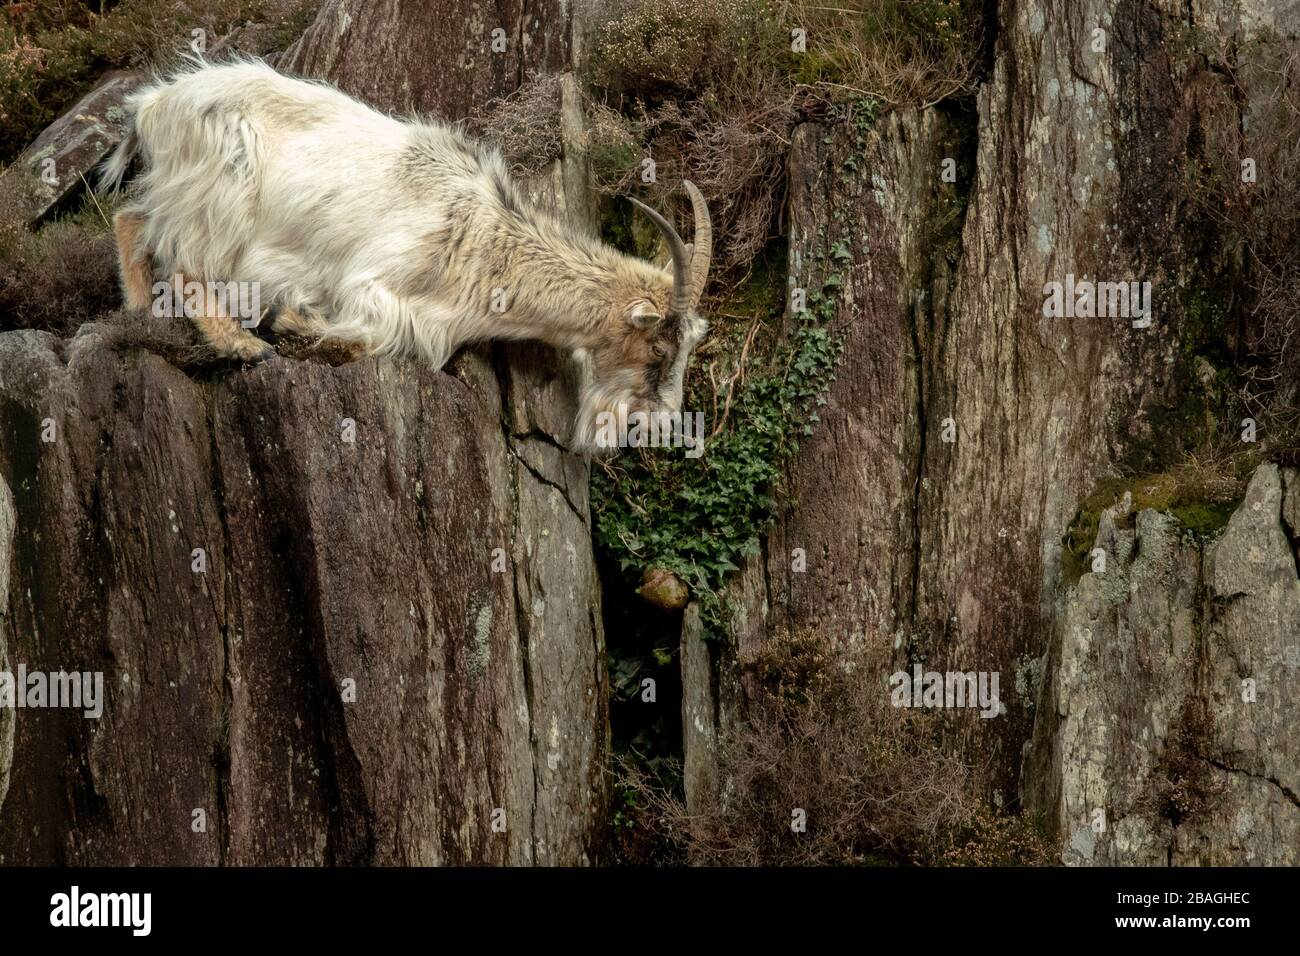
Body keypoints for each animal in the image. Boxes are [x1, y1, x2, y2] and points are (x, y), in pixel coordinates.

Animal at [98, 59, 712, 451]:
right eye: (658, 349)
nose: (661, 425)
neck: (481, 238)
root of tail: (152, 105)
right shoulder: (371, 282)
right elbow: (378, 335)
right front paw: (292, 321)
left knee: (131, 221)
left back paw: (140, 313)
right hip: (219, 190)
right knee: (181, 261)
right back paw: (241, 344)